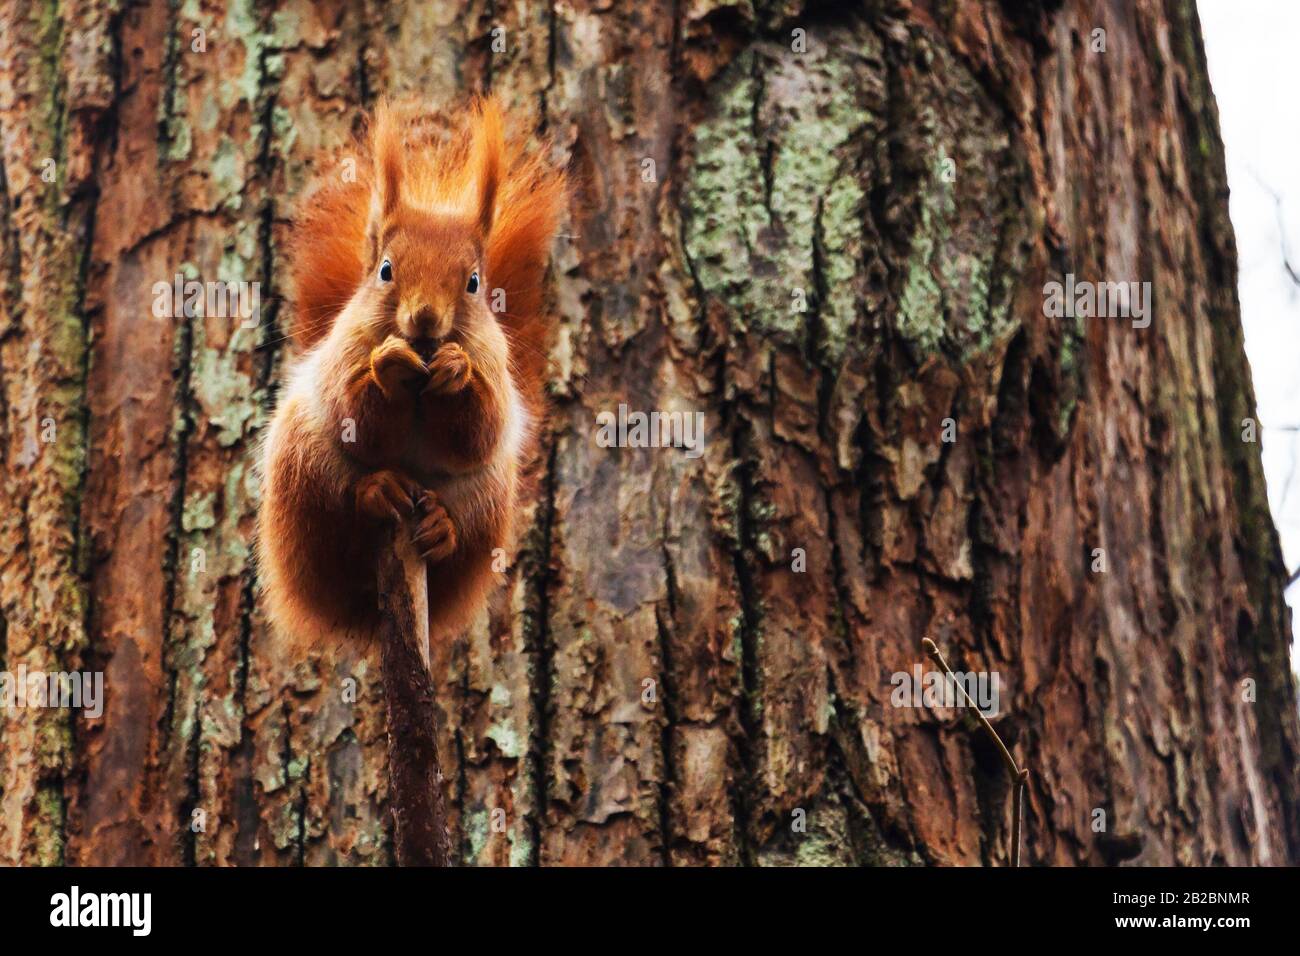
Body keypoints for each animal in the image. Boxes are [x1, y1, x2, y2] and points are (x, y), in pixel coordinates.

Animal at [257, 98, 566, 652]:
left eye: (473, 283)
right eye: (385, 270)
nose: (424, 320)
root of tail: (361, 615)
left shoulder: (494, 366)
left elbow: (478, 431)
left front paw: (455, 369)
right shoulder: (344, 355)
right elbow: (356, 418)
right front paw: (389, 366)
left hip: (488, 496)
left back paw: (442, 526)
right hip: (303, 462)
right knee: (340, 503)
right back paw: (377, 491)